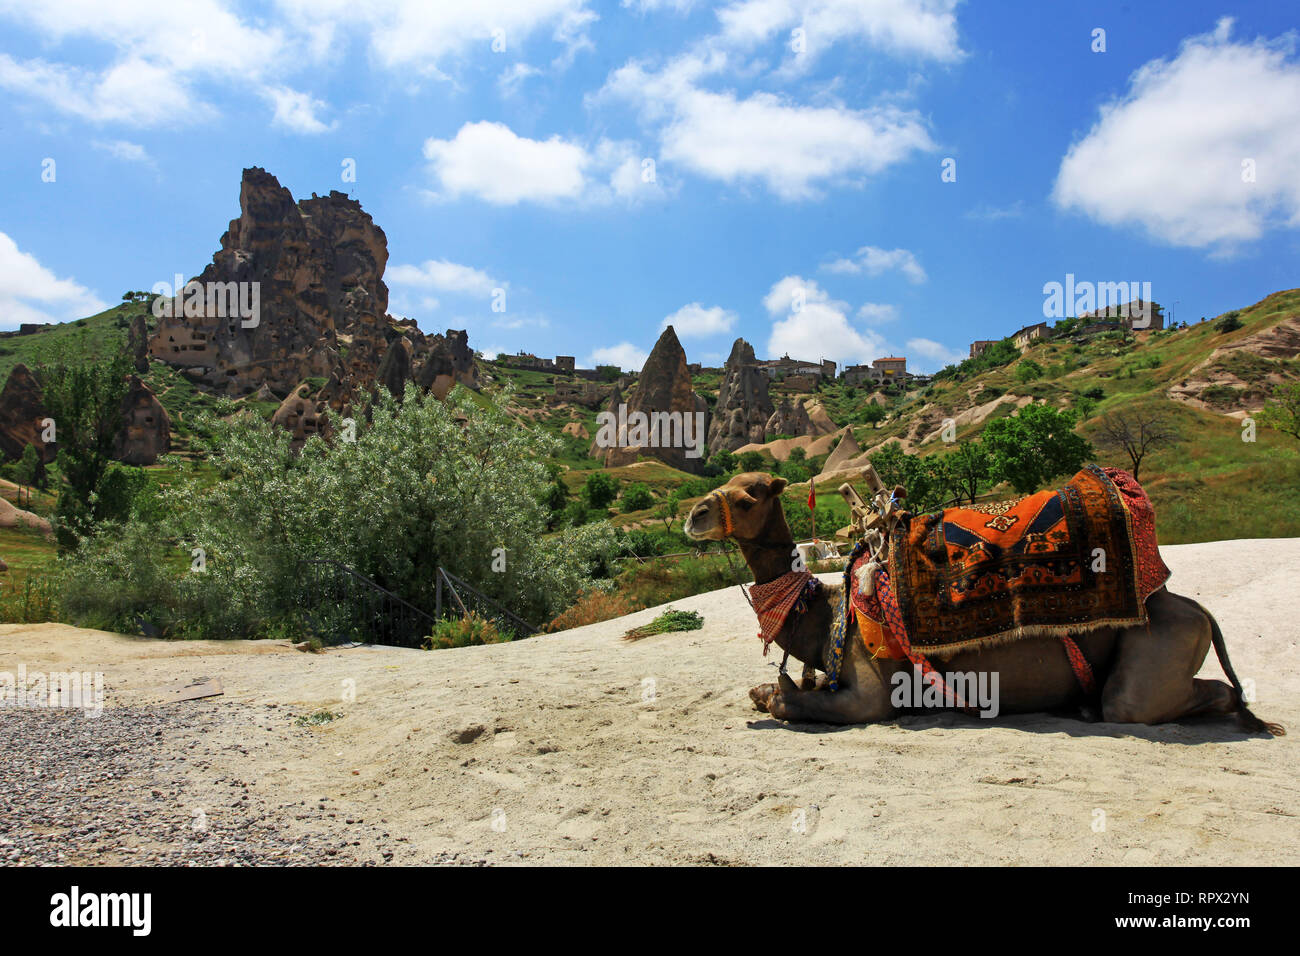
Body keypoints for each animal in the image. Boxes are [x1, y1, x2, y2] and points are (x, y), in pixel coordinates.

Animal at [684, 472, 1283, 735]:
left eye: (747, 496)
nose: (694, 514)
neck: (829, 611)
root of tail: (1200, 611)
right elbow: (777, 691)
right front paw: (768, 688)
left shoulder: (875, 692)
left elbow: (800, 704)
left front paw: (777, 696)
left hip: (1158, 651)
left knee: (1160, 701)